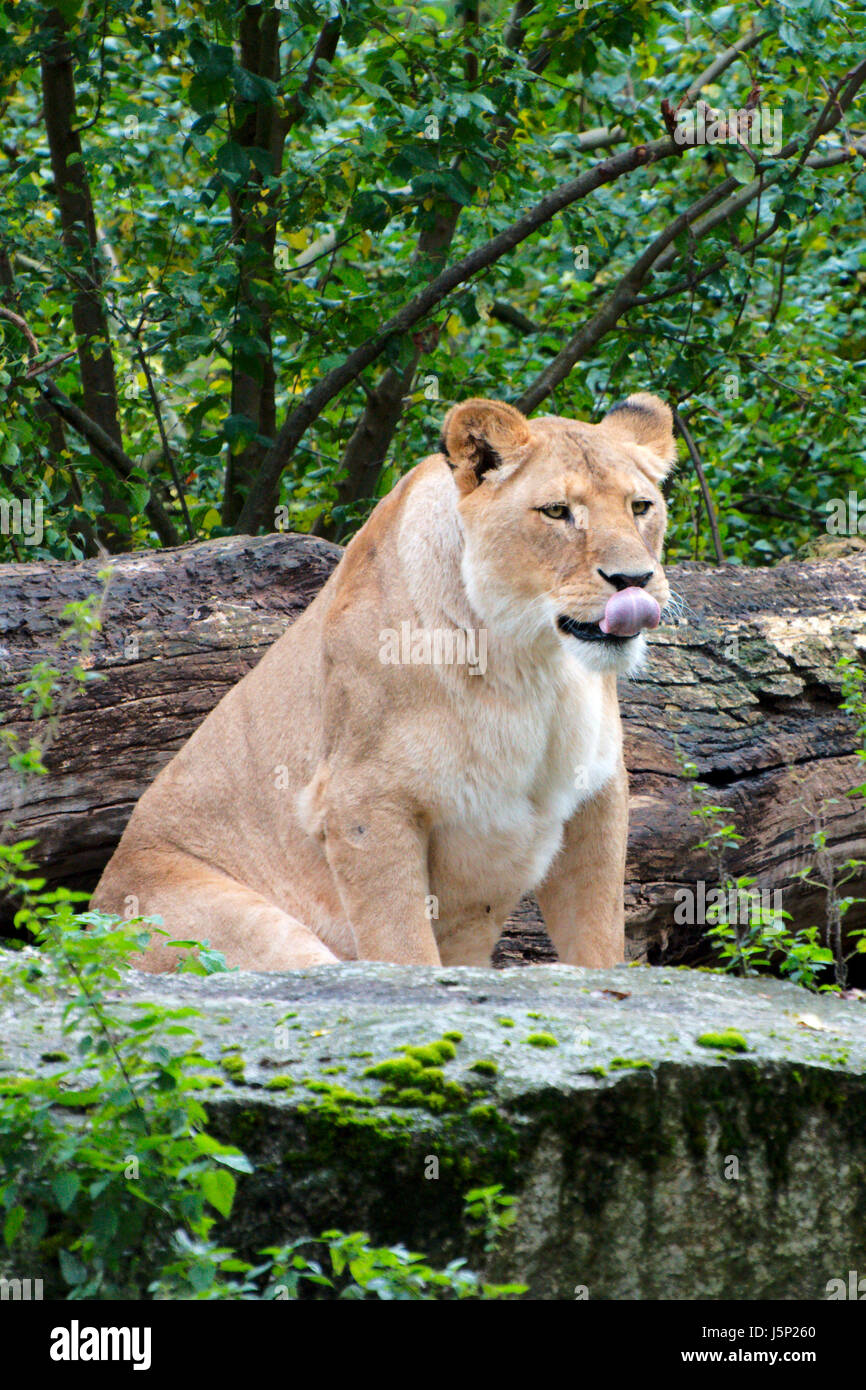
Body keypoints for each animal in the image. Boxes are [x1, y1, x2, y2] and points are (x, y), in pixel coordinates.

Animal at [91, 394, 675, 972]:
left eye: (640, 507)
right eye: (557, 512)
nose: (634, 581)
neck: (534, 666)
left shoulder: (596, 793)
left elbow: (598, 939)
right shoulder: (362, 804)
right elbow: (402, 950)